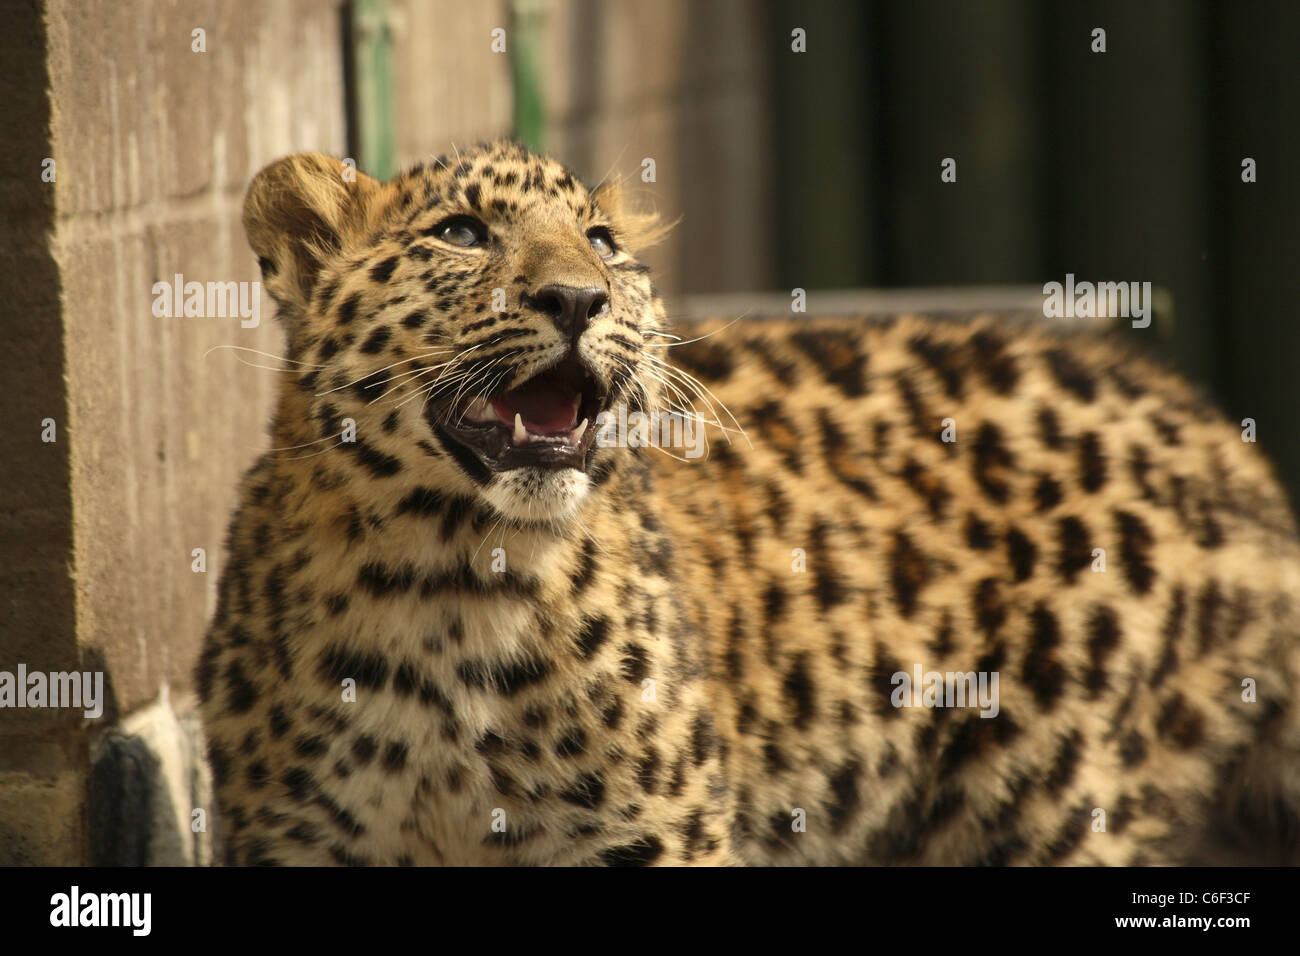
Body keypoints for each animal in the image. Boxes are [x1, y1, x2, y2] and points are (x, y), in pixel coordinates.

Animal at [196, 139, 1300, 866]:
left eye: (601, 240)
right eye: (461, 233)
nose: (579, 299)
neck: (453, 584)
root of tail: (1224, 439)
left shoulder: (649, 841)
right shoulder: (302, 844)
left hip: (1055, 795)